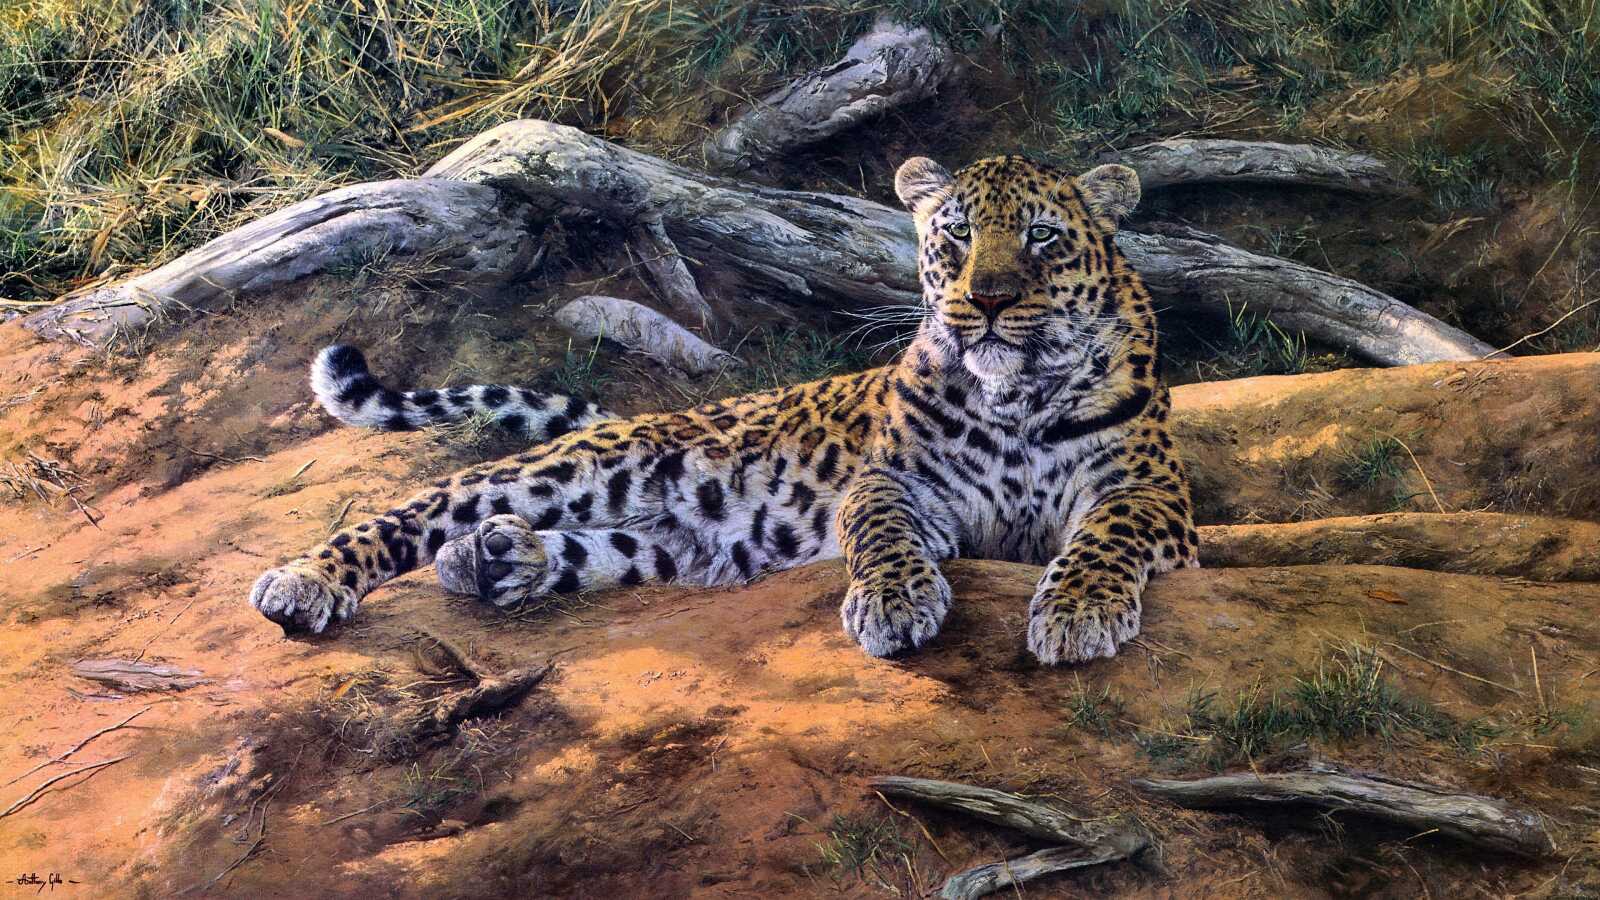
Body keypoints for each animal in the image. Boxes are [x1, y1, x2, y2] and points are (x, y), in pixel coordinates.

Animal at [250, 154, 1199, 665]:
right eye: (956, 235)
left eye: (1041, 237)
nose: (991, 301)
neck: (1014, 397)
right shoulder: (893, 484)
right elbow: (883, 533)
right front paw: (895, 604)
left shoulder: (1153, 497)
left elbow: (1105, 536)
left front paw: (1077, 613)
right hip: (579, 470)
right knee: (421, 506)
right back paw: (306, 581)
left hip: (668, 546)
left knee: (576, 550)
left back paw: (493, 562)